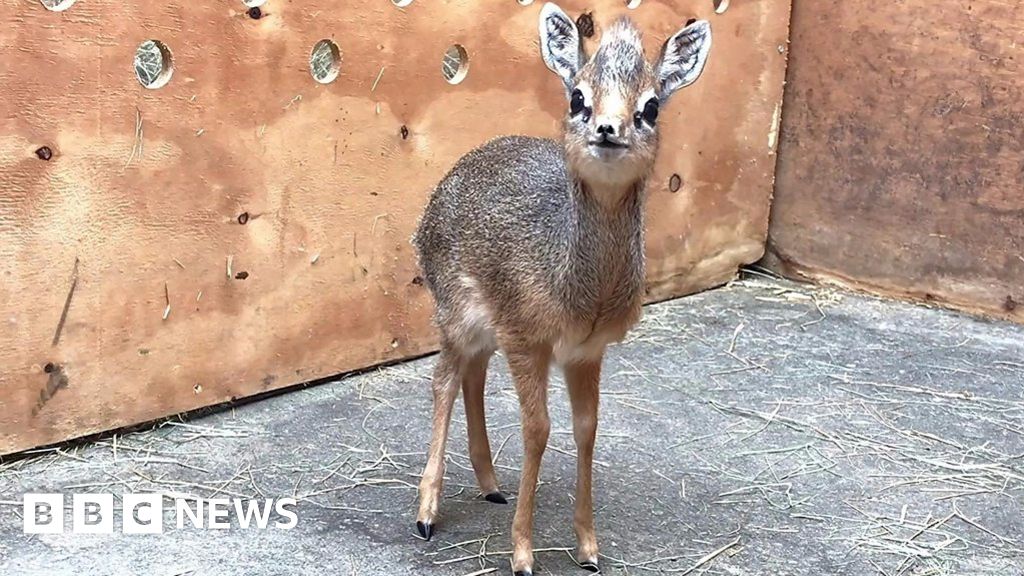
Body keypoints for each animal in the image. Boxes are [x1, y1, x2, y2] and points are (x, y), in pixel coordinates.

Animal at [413, 4, 712, 574]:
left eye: (651, 106)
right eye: (577, 97)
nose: (608, 128)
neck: (579, 291)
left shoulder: (585, 351)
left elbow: (586, 427)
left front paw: (589, 548)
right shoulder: (528, 340)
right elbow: (538, 429)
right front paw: (522, 554)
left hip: (486, 328)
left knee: (472, 377)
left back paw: (491, 485)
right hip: (454, 313)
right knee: (443, 381)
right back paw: (426, 514)